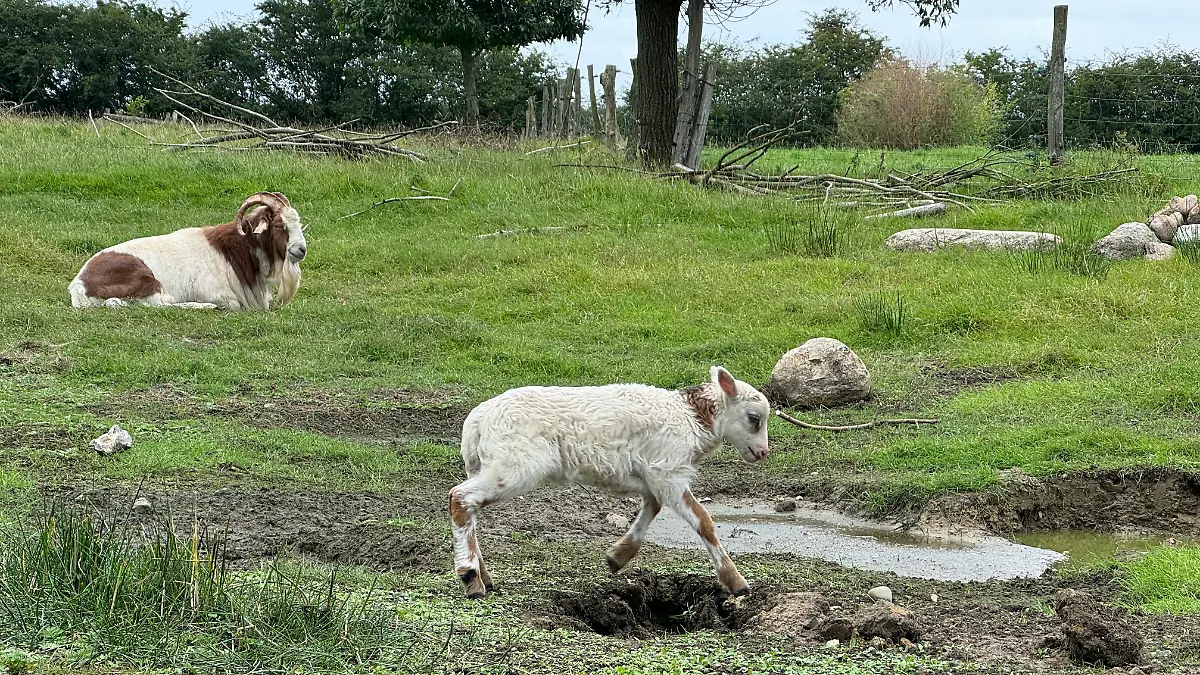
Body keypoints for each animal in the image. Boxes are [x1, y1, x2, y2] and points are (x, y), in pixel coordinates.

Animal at [68, 192, 306, 310]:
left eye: (298, 223)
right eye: (279, 225)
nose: (301, 249)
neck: (234, 250)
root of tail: (80, 285)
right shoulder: (217, 293)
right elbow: (233, 305)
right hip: (146, 280)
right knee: (159, 304)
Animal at [449, 366, 771, 599]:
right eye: (754, 418)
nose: (763, 453)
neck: (692, 418)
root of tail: (476, 422)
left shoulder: (646, 475)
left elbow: (653, 506)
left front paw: (618, 556)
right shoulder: (668, 470)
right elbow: (703, 520)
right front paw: (735, 581)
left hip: (484, 465)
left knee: (470, 508)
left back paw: (483, 576)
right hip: (514, 464)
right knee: (460, 497)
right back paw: (470, 578)